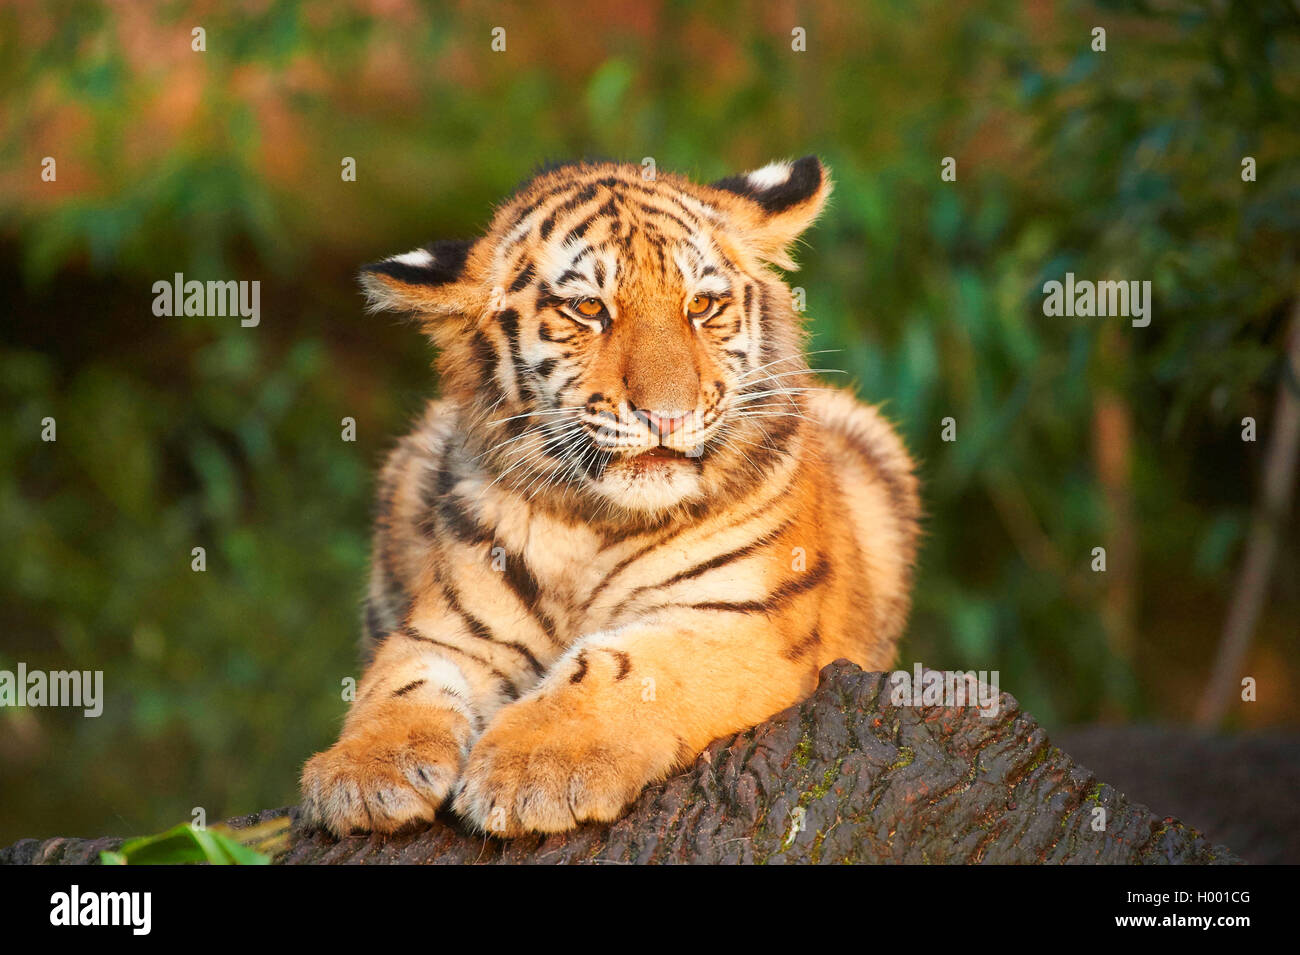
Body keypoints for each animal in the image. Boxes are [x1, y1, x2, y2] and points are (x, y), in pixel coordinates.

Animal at [300, 156, 921, 837]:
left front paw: (532, 769)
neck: (594, 524)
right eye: (588, 309)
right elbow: (399, 684)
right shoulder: (449, 631)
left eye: (701, 304)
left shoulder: (742, 619)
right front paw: (363, 772)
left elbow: (614, 666)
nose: (668, 415)